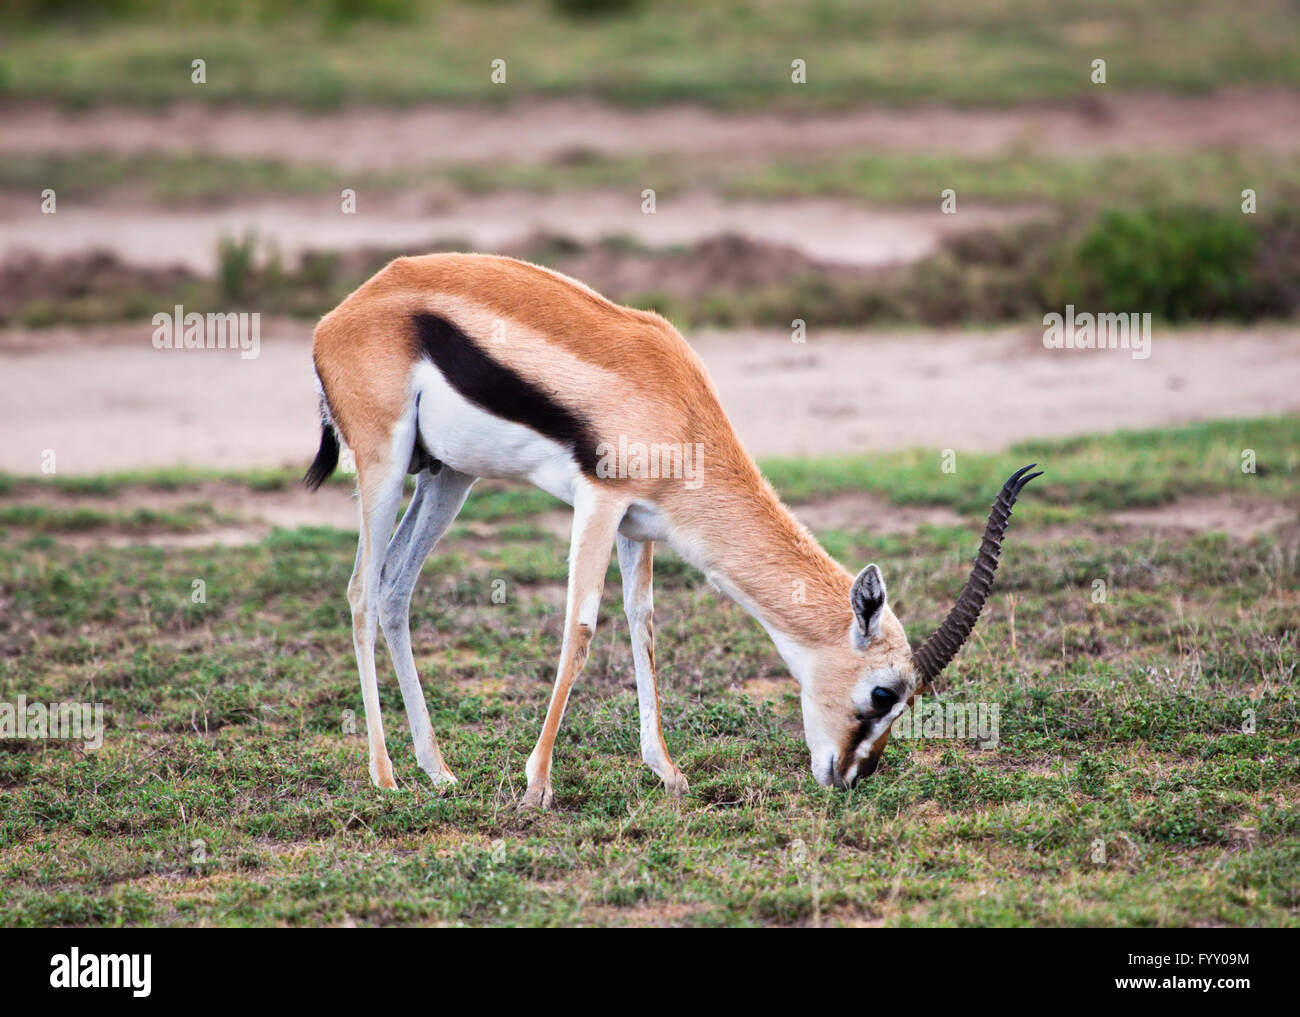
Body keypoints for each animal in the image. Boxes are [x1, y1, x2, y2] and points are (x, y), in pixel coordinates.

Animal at [305, 253, 1040, 809]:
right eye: (883, 692)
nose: (852, 775)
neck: (678, 405)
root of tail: (338, 316)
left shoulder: (640, 524)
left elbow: (643, 622)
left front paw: (667, 771)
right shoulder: (599, 501)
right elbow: (581, 627)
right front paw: (537, 785)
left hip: (449, 476)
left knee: (396, 590)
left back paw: (437, 770)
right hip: (384, 466)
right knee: (361, 592)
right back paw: (385, 777)